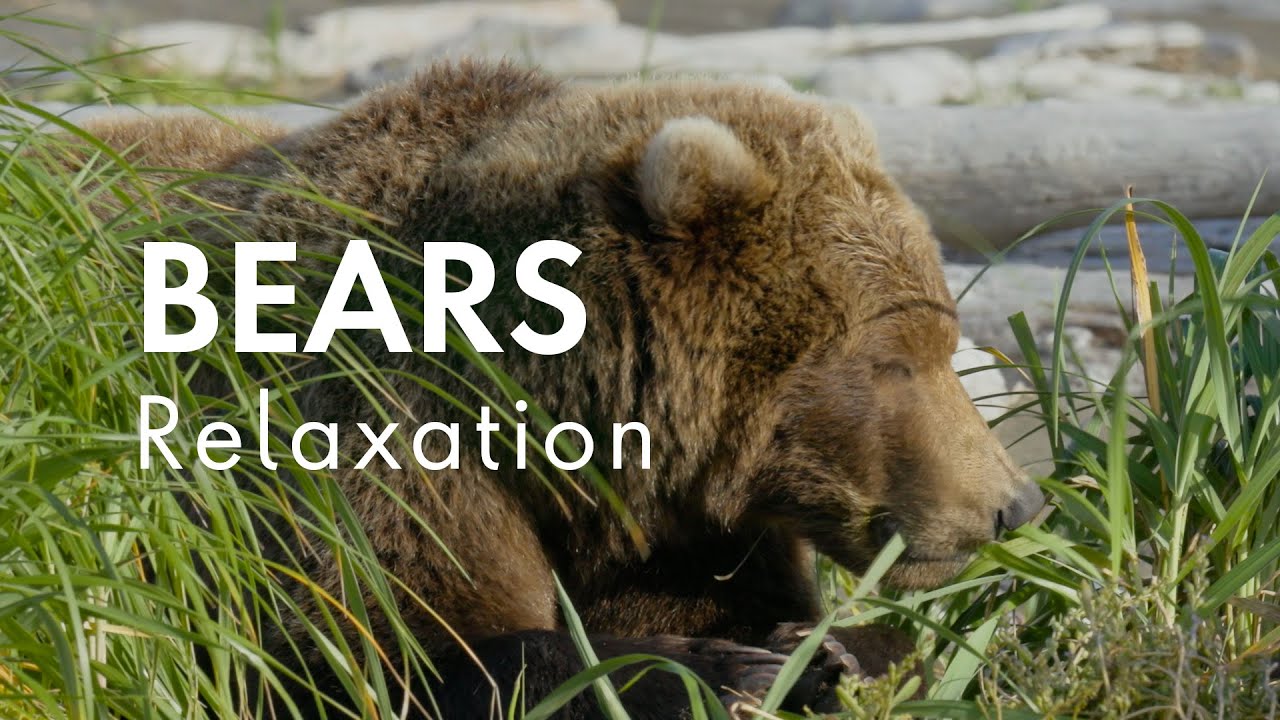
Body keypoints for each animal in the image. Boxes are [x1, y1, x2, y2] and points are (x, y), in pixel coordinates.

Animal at [77, 61, 1045, 718]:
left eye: (941, 338)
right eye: (892, 359)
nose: (1012, 503)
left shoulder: (671, 519)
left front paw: (830, 648)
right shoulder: (364, 426)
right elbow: (388, 647)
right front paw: (737, 668)